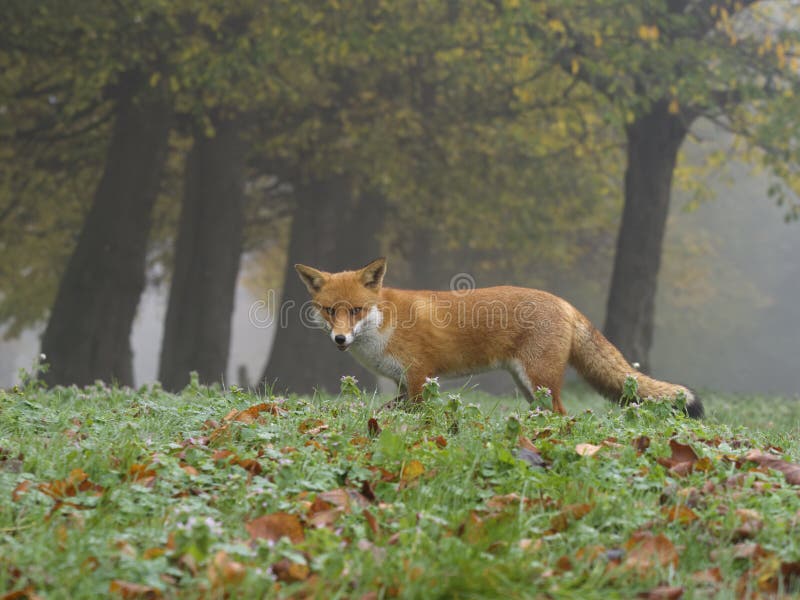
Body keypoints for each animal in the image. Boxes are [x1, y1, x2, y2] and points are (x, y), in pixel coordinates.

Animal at [294, 257, 703, 418]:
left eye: (356, 310)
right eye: (330, 311)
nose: (340, 340)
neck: (386, 323)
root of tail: (566, 303)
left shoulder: (420, 378)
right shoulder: (403, 385)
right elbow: (387, 410)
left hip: (538, 380)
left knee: (562, 414)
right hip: (528, 385)